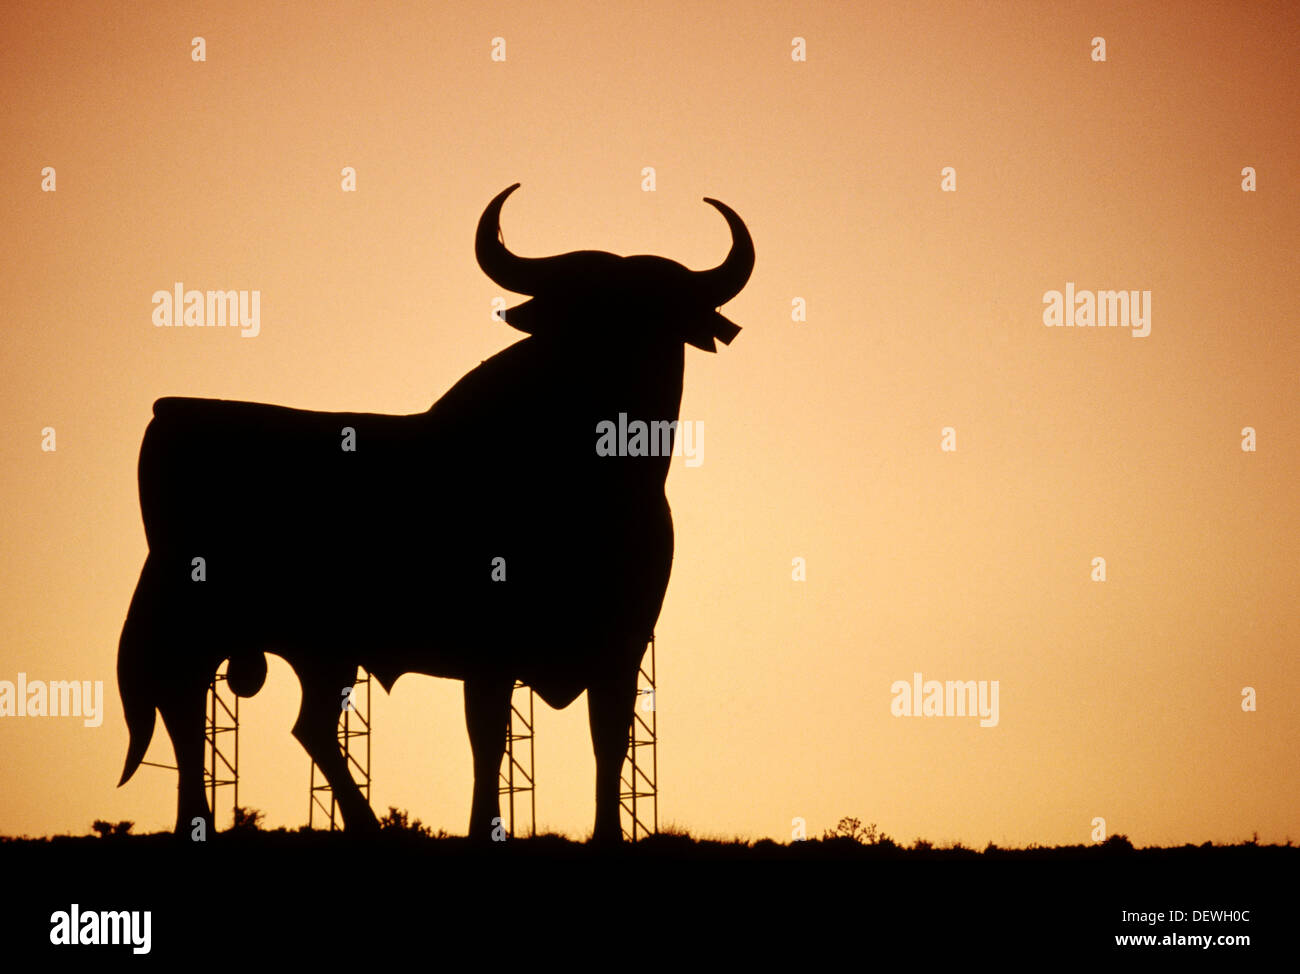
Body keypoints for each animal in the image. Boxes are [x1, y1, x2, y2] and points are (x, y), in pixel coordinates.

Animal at [116, 183, 754, 842]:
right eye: (577, 313)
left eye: (660, 316)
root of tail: (170, 411)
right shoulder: (491, 649)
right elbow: (489, 739)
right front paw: (484, 830)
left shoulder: (621, 647)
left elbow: (610, 738)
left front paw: (607, 836)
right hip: (193, 618)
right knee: (184, 708)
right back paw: (202, 823)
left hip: (321, 649)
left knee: (302, 724)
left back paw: (361, 826)